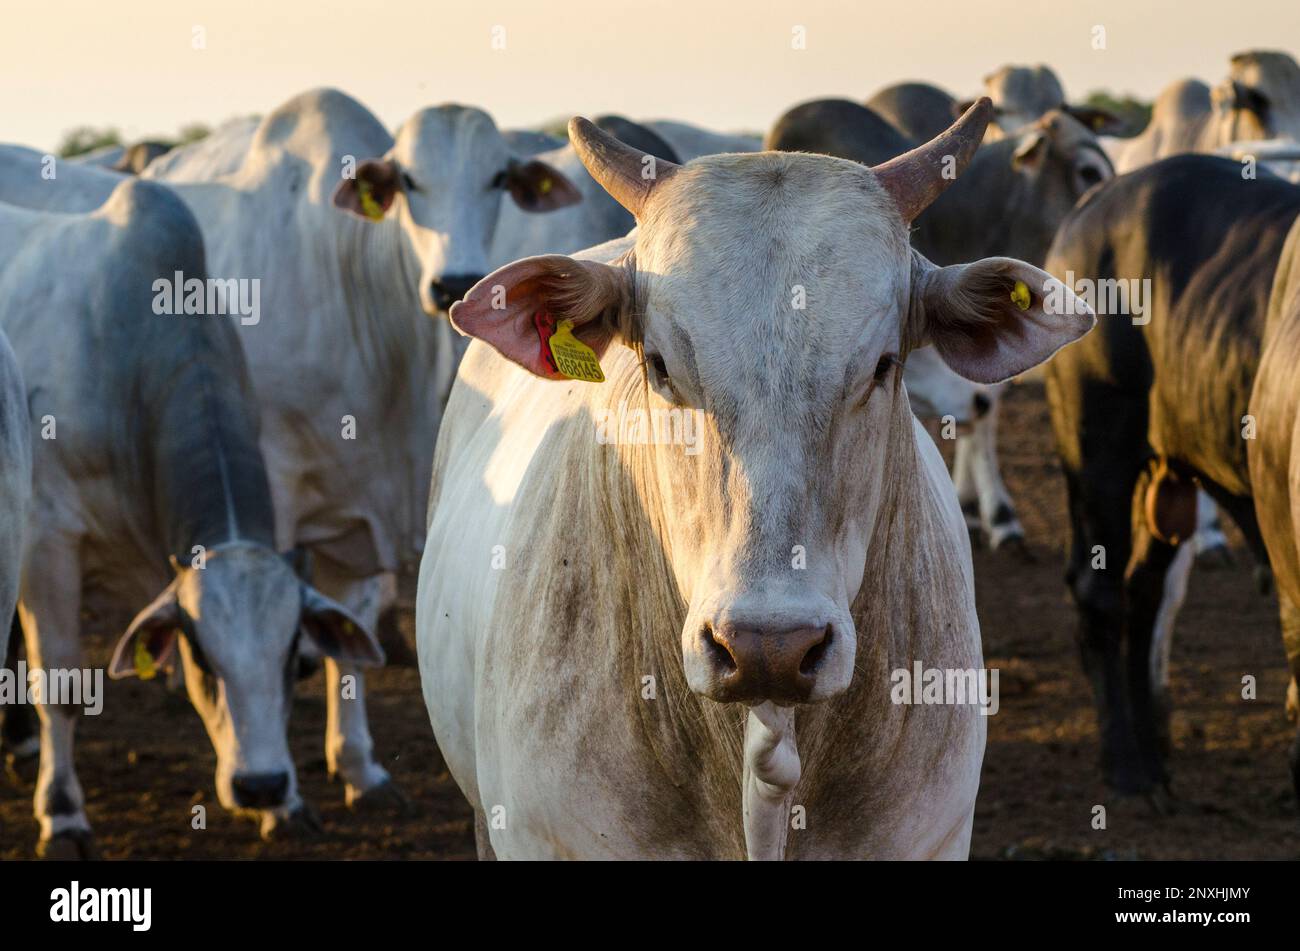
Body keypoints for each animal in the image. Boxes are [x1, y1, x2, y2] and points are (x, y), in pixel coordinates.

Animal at [0, 161, 384, 857]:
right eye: (202, 653)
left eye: (297, 659)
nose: (261, 784)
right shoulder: (46, 542)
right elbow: (61, 685)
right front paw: (63, 813)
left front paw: (286, 808)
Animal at [138, 88, 579, 810]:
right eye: (409, 182)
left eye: (497, 179)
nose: (454, 281)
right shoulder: (270, 487)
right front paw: (282, 795)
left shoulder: (360, 513)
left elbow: (351, 626)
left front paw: (358, 765)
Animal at [1044, 154, 1300, 799]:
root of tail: (1095, 203)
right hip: (1098, 453)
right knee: (1100, 595)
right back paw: (1126, 767)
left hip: (1166, 481)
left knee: (1143, 592)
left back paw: (1154, 758)